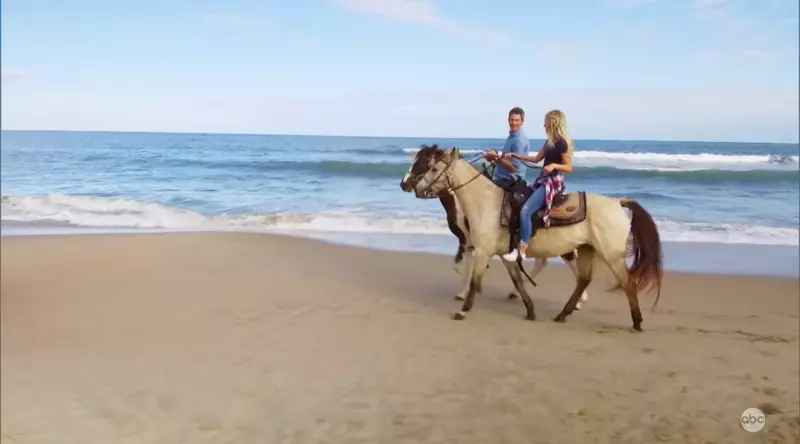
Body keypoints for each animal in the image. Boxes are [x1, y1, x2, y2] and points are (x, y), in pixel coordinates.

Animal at [406, 144, 664, 332]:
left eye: (430, 167)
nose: (412, 187)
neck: (486, 203)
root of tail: (618, 202)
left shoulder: (481, 250)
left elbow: (474, 279)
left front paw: (463, 309)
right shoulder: (504, 254)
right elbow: (518, 282)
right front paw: (530, 310)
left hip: (611, 254)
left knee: (627, 282)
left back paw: (637, 322)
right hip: (586, 249)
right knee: (583, 280)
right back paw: (563, 314)